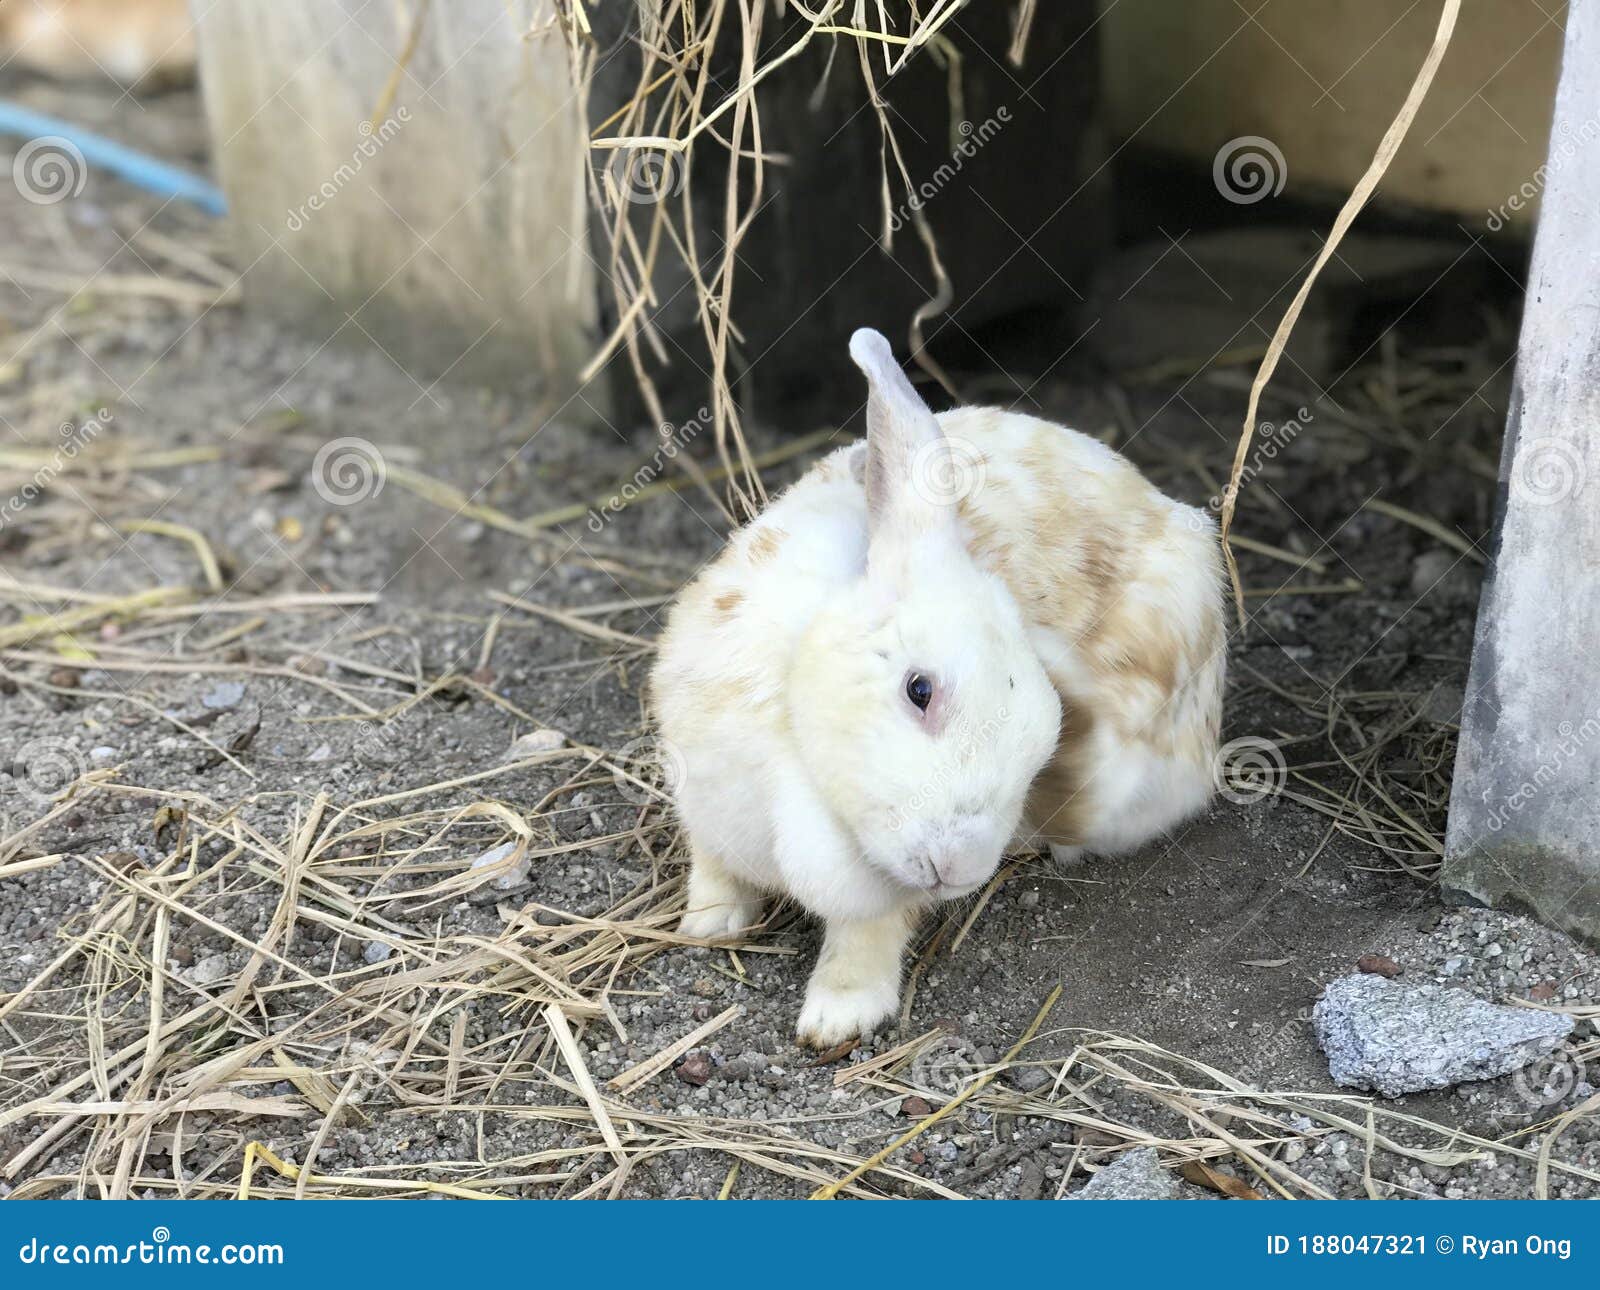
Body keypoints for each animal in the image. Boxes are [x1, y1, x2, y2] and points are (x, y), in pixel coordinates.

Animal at [651, 327, 1225, 1047]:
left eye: (1041, 748)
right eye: (918, 690)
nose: (959, 870)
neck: (798, 761)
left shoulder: (877, 902)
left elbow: (865, 939)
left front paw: (837, 1018)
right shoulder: (704, 804)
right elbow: (714, 871)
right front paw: (707, 924)